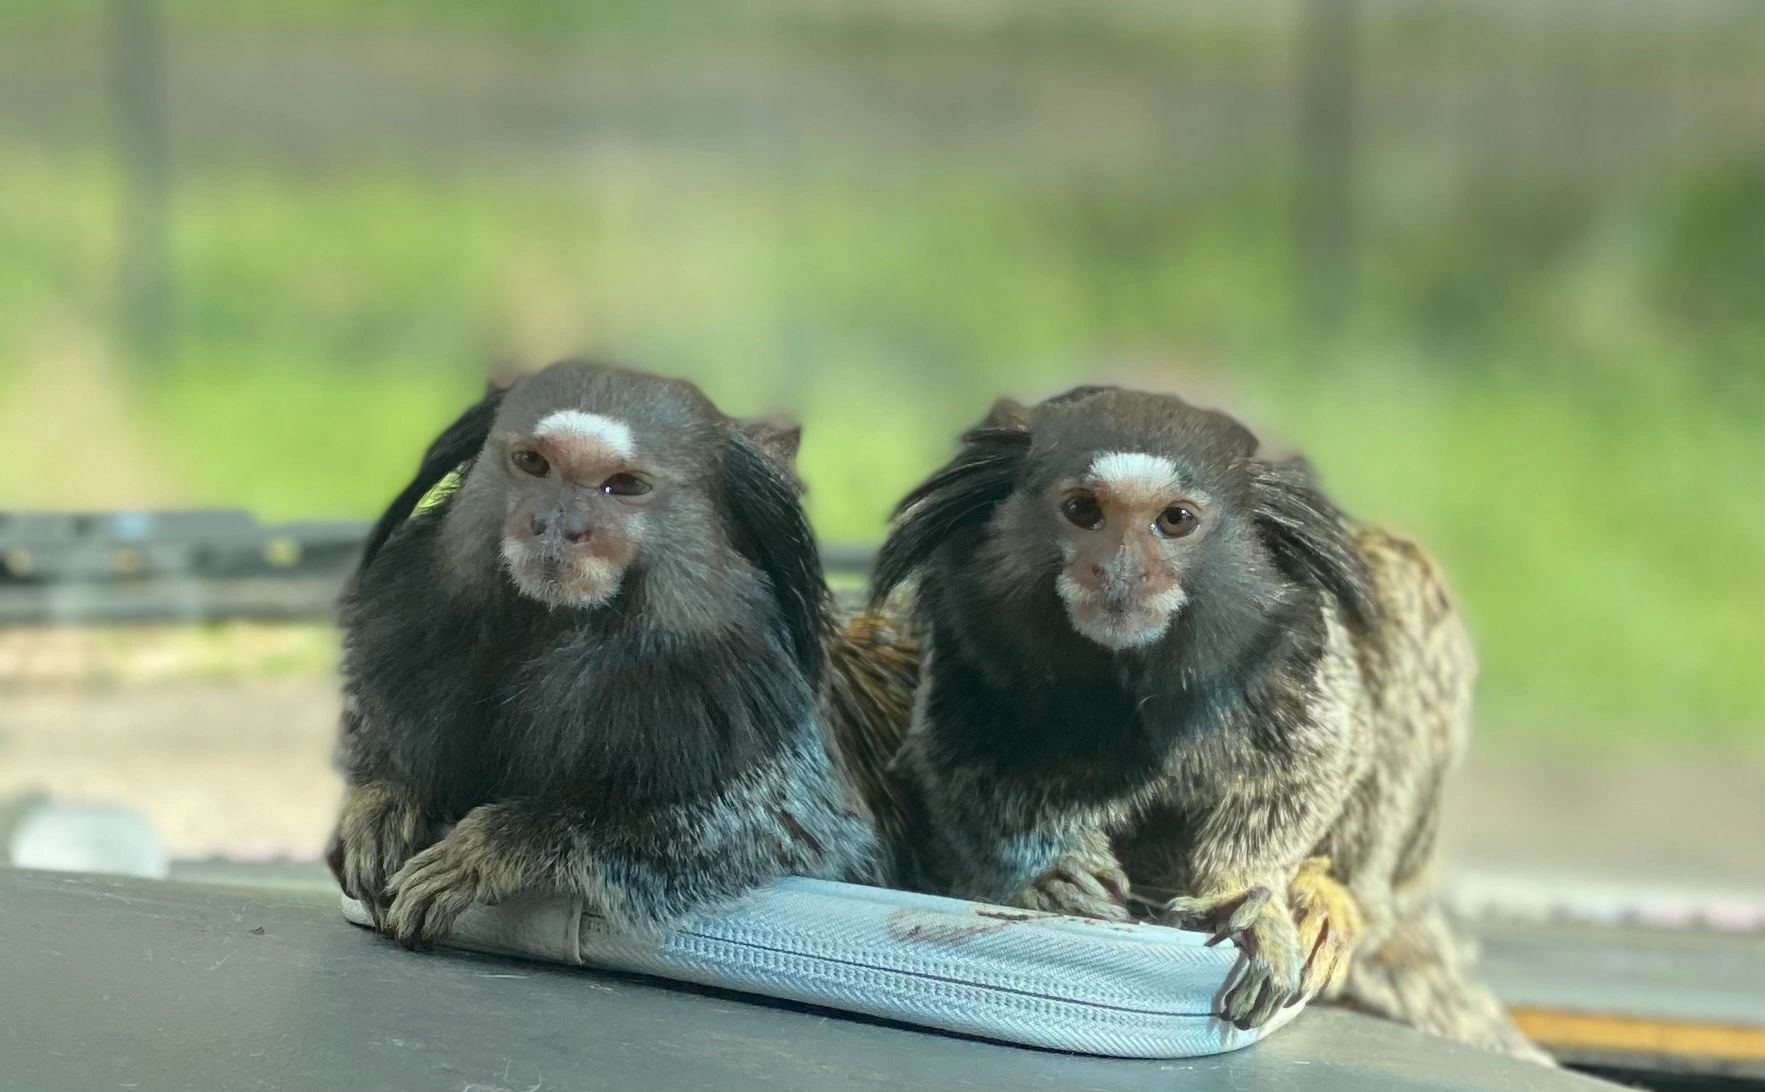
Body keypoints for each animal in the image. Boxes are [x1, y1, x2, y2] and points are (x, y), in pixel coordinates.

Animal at [327, 360, 887, 948]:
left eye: (623, 486)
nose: (557, 524)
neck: (558, 625)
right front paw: (383, 799)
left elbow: (774, 837)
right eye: (533, 464)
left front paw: (494, 846)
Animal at [869, 385, 1549, 1063]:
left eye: (1174, 521)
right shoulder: (968, 642)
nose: (1118, 570)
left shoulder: (1293, 655)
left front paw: (1243, 893)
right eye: (1083, 511)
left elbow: (1316, 762)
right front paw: (1045, 873)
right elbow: (961, 764)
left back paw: (1327, 898)